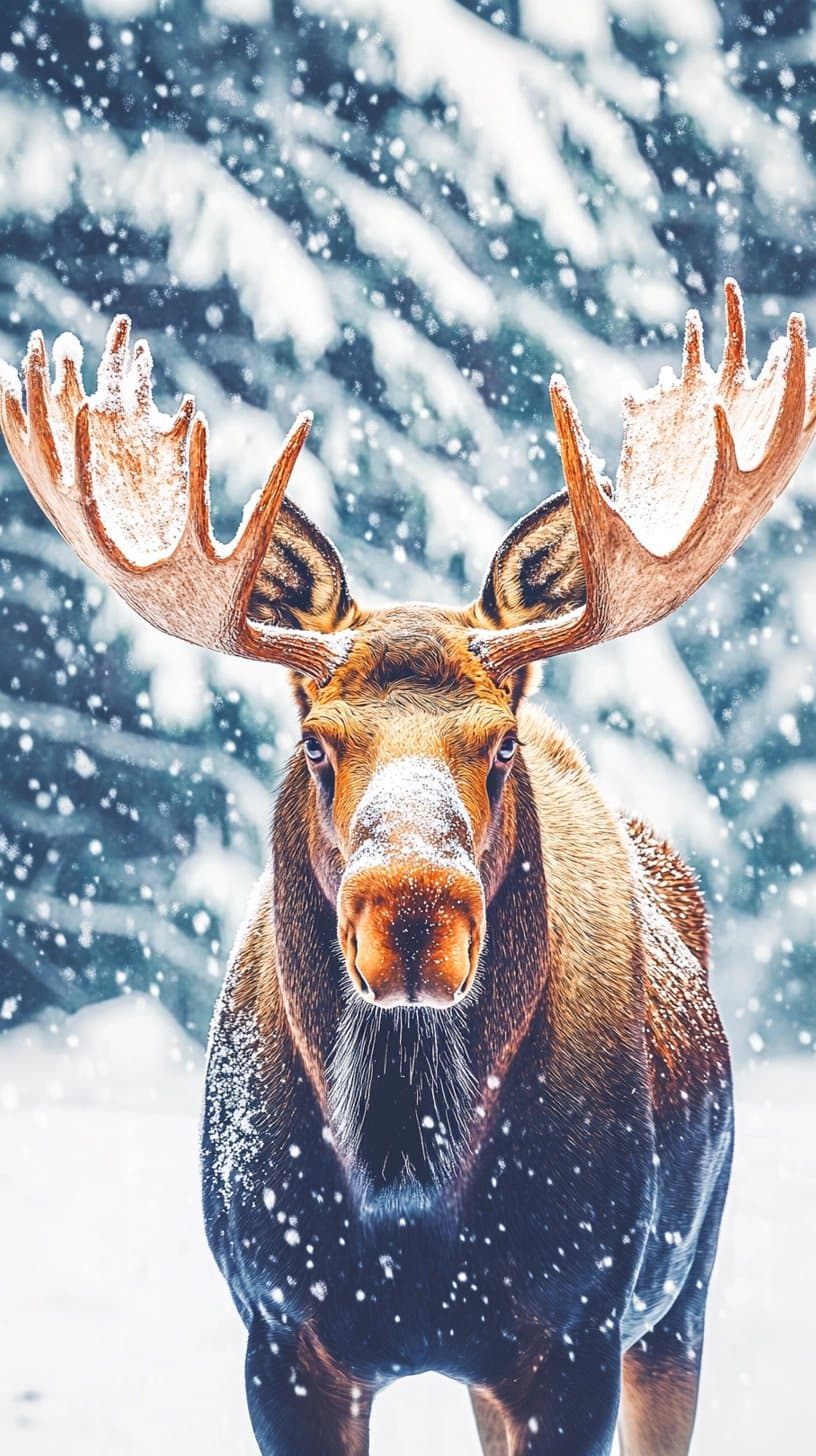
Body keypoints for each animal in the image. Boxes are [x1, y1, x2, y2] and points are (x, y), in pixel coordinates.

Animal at [1, 280, 814, 1456]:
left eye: (500, 744)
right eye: (317, 743)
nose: (415, 912)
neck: (408, 1199)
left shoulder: (578, 1330)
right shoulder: (280, 1330)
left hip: (681, 1292)